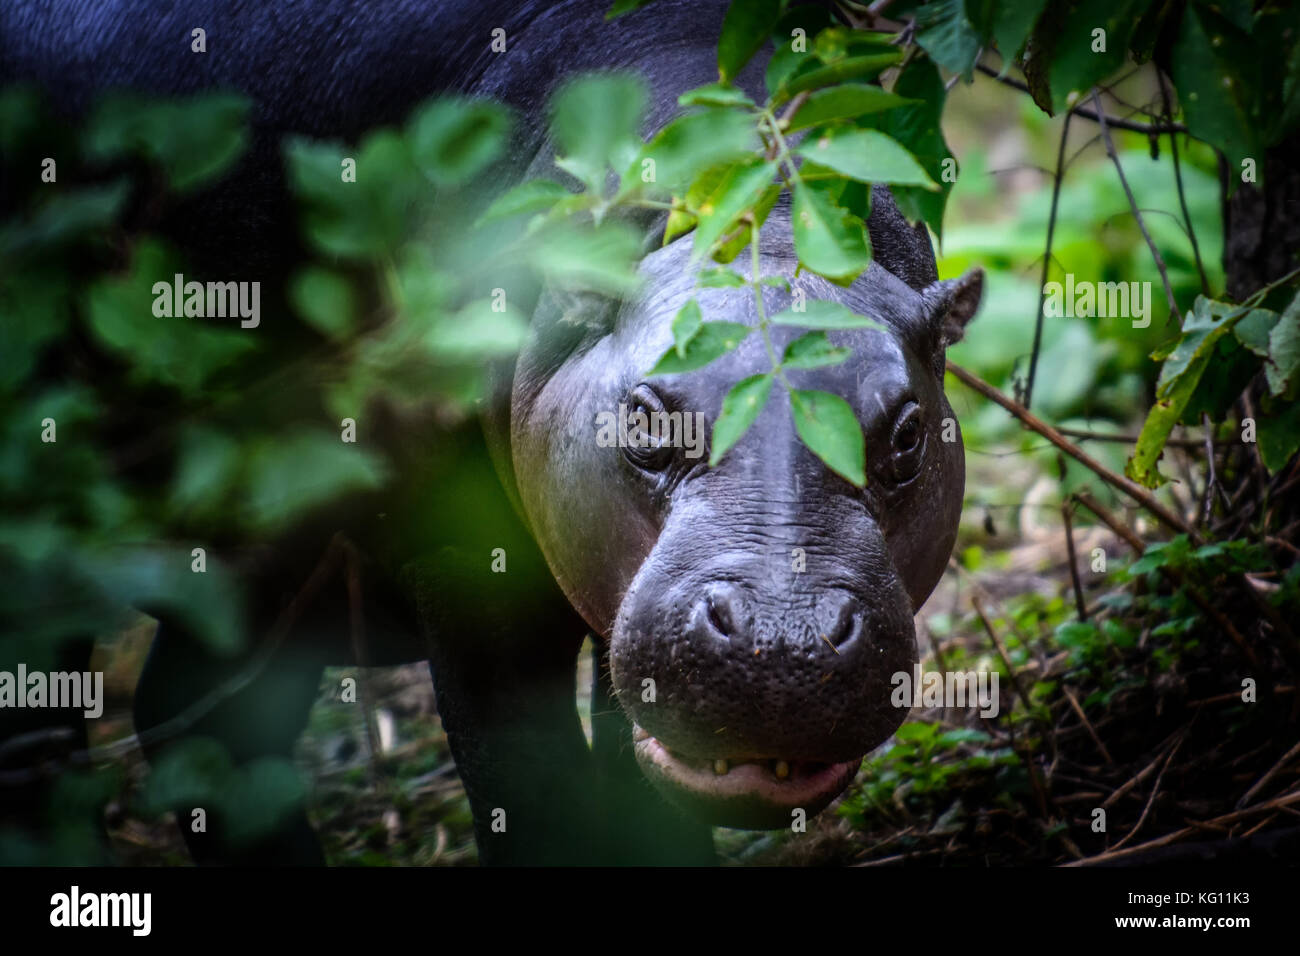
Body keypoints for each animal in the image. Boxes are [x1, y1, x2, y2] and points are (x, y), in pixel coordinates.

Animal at [0, 0, 981, 864]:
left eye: (906, 436)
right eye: (643, 419)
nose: (786, 638)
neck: (766, 212)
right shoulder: (470, 576)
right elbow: (529, 791)